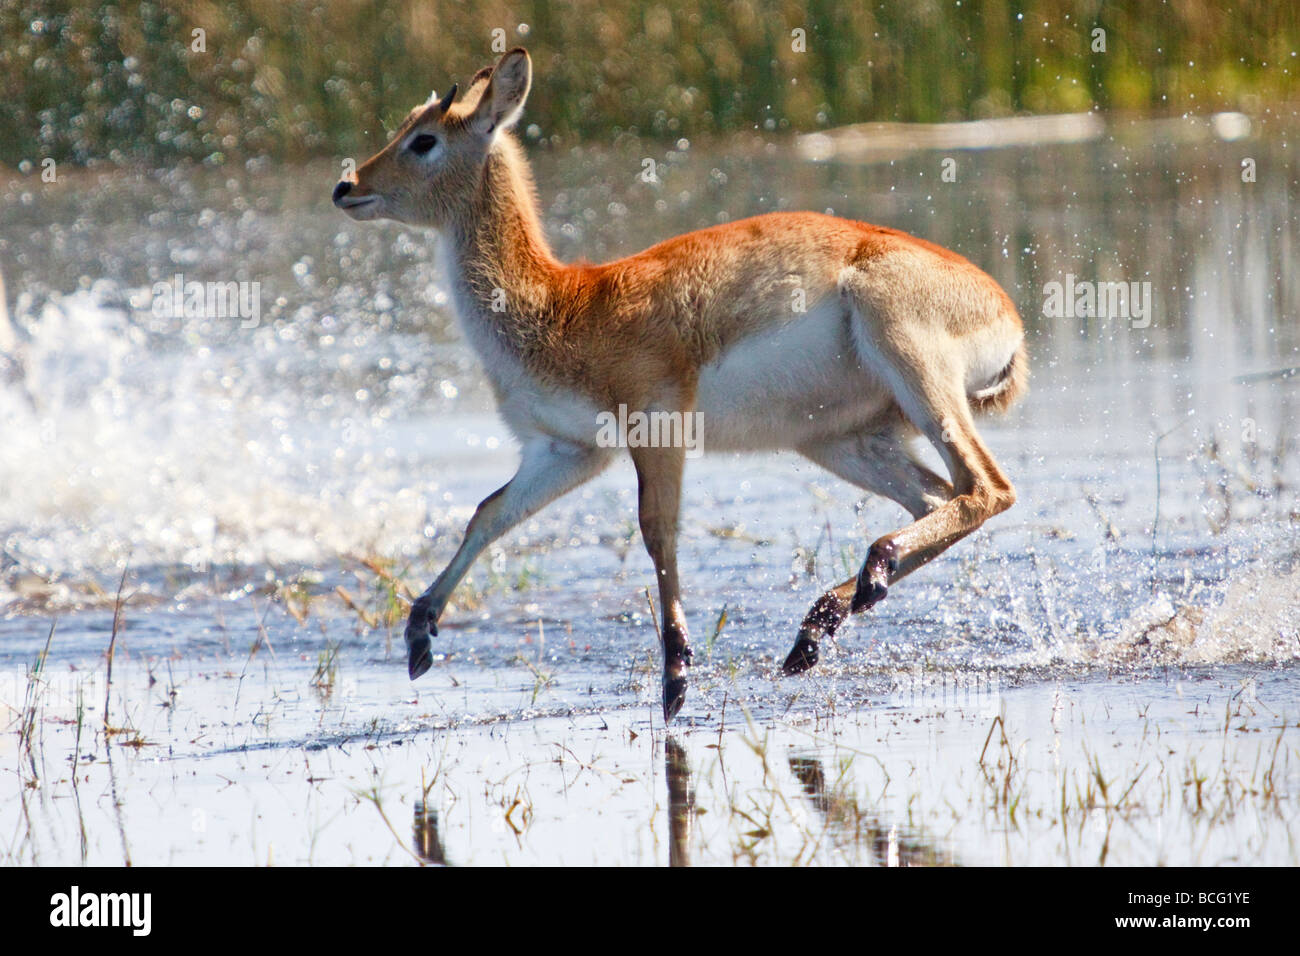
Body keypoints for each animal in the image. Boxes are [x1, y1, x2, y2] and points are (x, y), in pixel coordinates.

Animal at [333, 49, 1027, 721]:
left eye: (424, 139)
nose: (347, 186)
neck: (564, 304)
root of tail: (1007, 313)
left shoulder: (656, 425)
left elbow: (656, 530)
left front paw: (676, 676)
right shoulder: (569, 451)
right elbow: (490, 513)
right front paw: (419, 635)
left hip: (911, 367)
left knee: (986, 489)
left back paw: (858, 583)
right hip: (841, 440)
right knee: (939, 499)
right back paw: (819, 626)